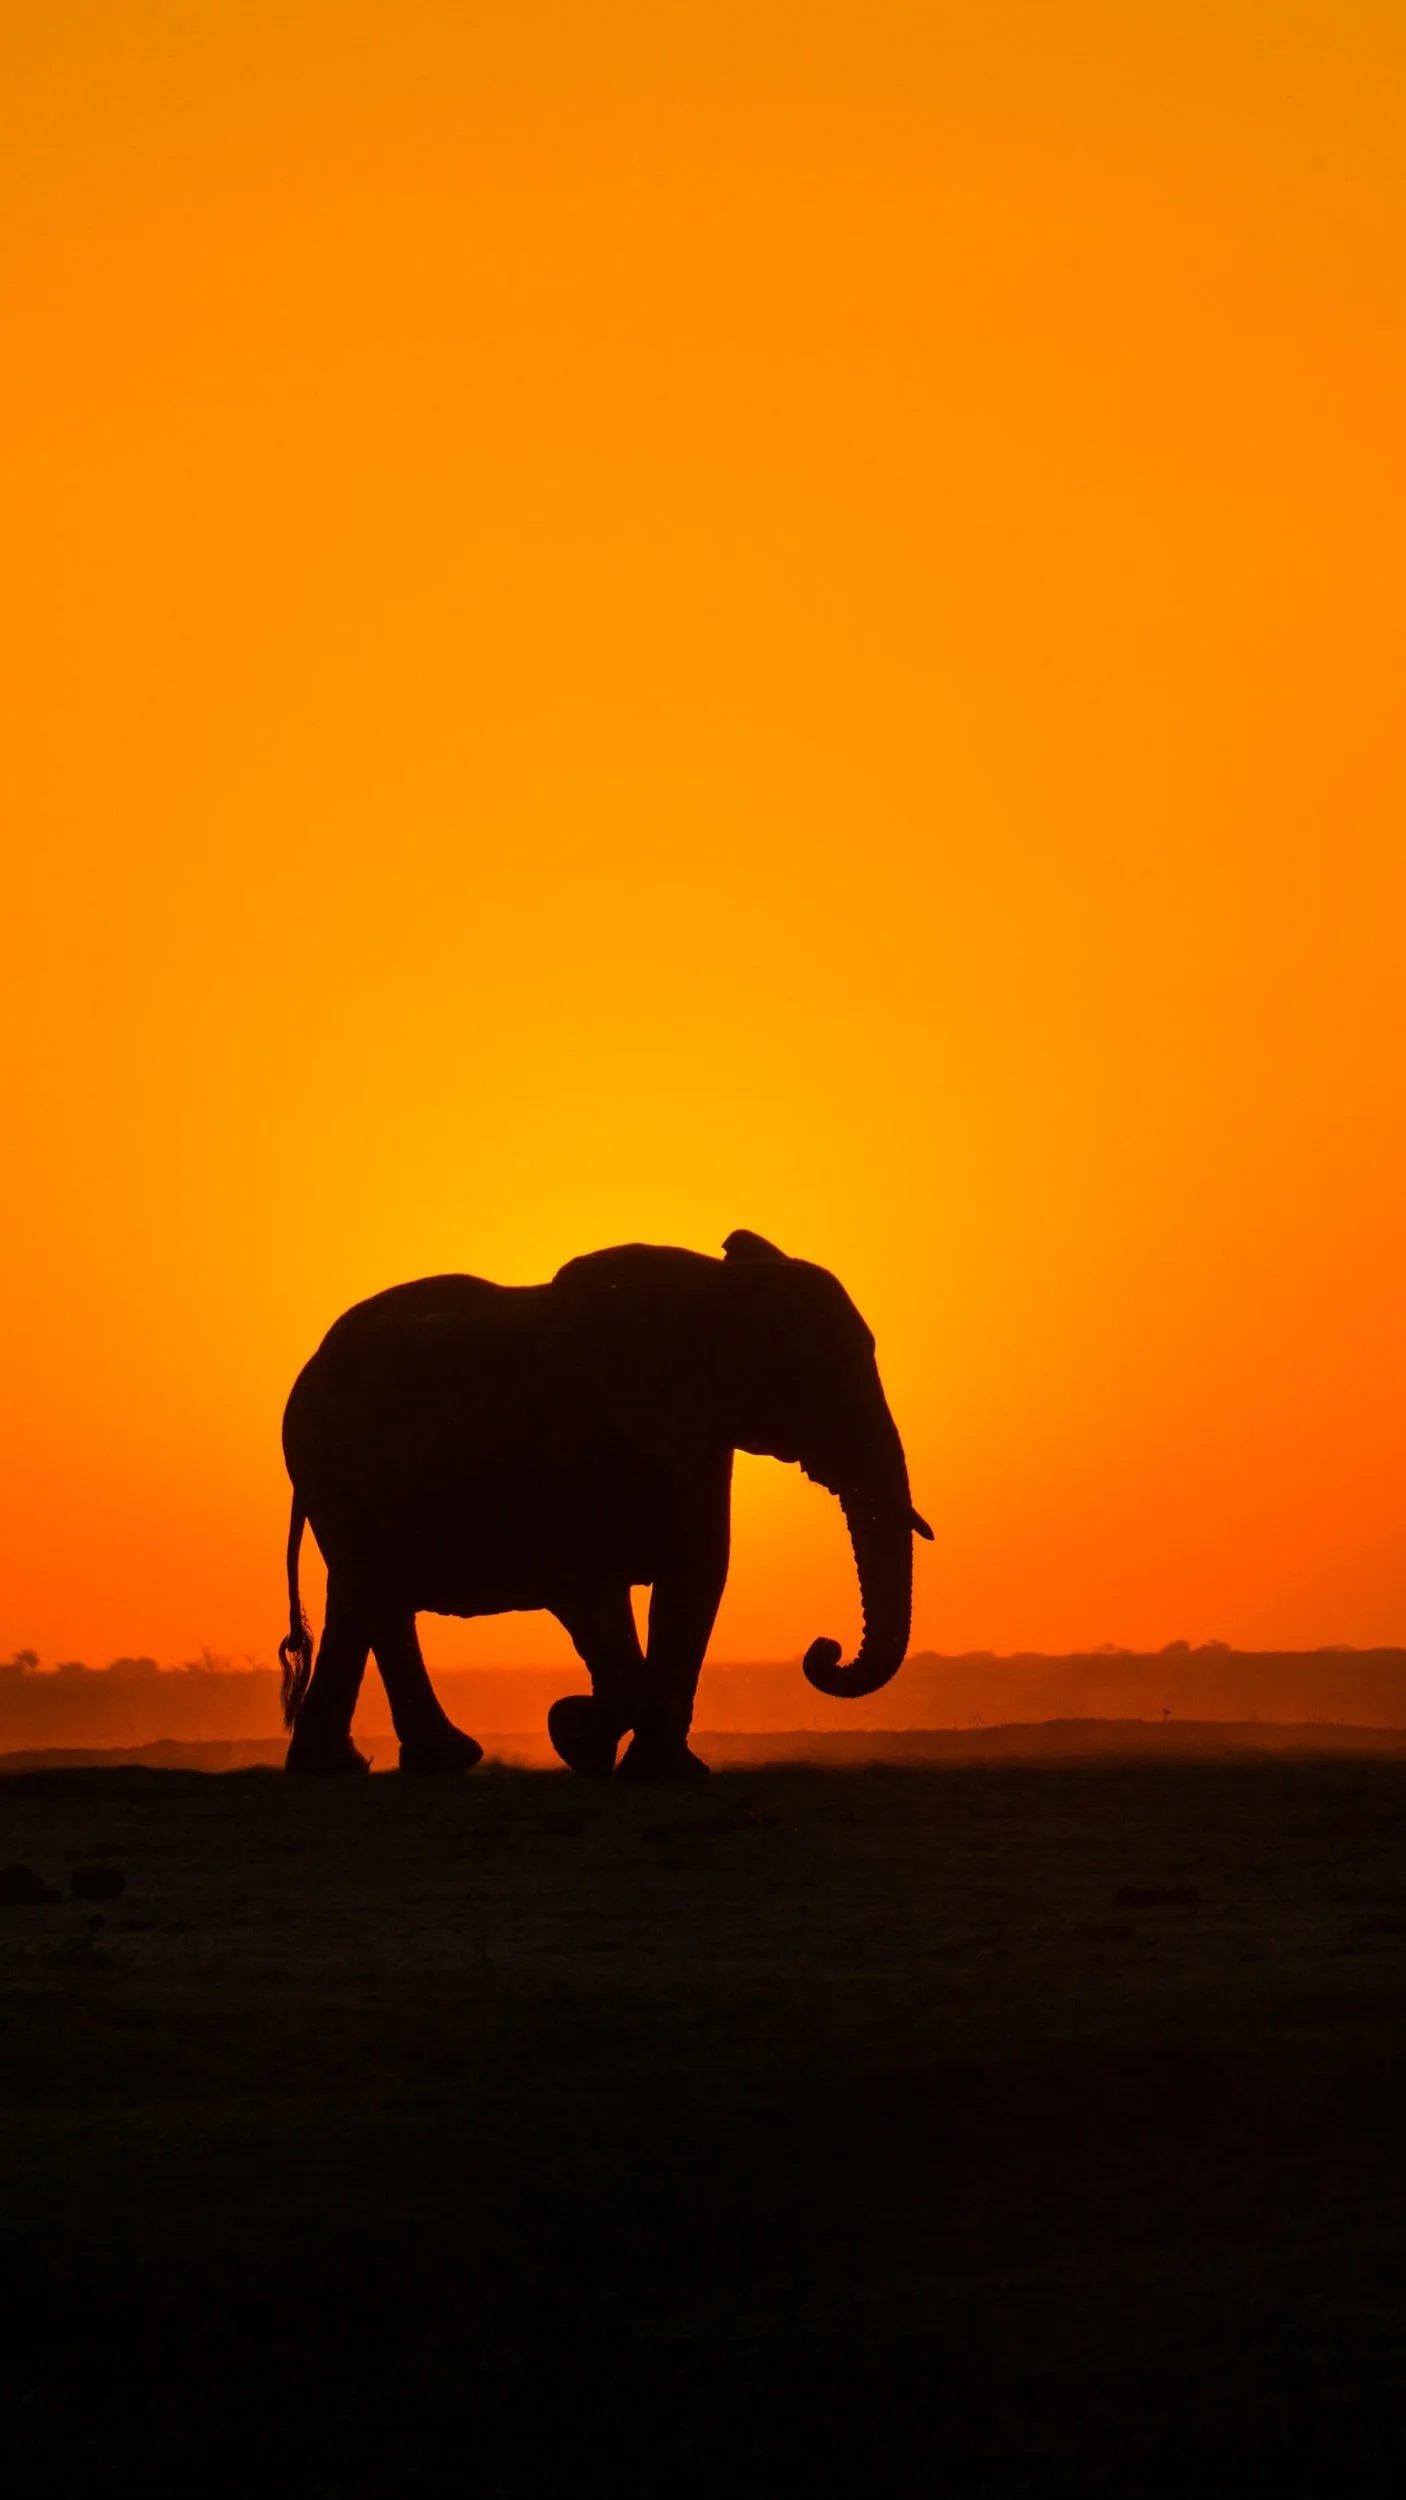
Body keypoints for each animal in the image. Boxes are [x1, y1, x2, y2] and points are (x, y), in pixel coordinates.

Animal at [277, 1230, 931, 1779]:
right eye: (817, 1374)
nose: (824, 1650)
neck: (715, 1289)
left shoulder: (698, 1439)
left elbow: (695, 1581)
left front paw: (662, 1772)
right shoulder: (574, 1443)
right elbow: (588, 1587)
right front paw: (576, 1732)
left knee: (355, 1599)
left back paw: (336, 1768)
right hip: (326, 1463)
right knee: (379, 1597)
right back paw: (444, 1760)